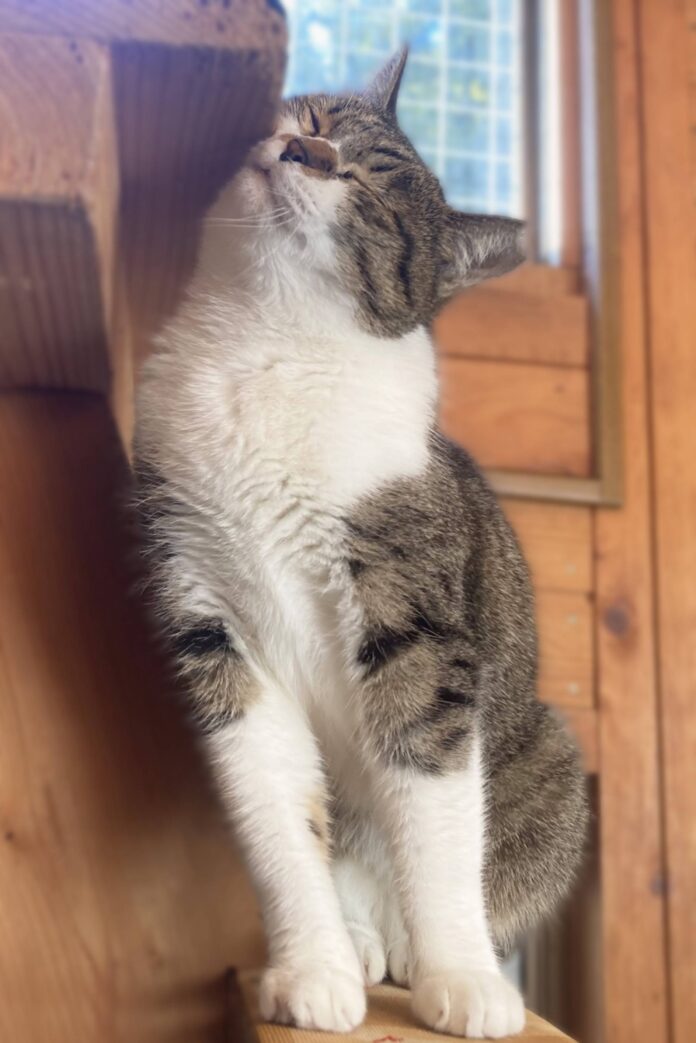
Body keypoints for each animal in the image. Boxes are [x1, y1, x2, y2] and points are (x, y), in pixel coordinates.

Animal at [134, 49, 588, 1043]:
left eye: (370, 186)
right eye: (311, 117)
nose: (304, 150)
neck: (264, 346)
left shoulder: (413, 620)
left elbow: (434, 801)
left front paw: (461, 977)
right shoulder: (211, 619)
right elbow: (276, 811)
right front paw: (313, 969)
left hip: (553, 761)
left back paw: (418, 951)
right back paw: (361, 943)